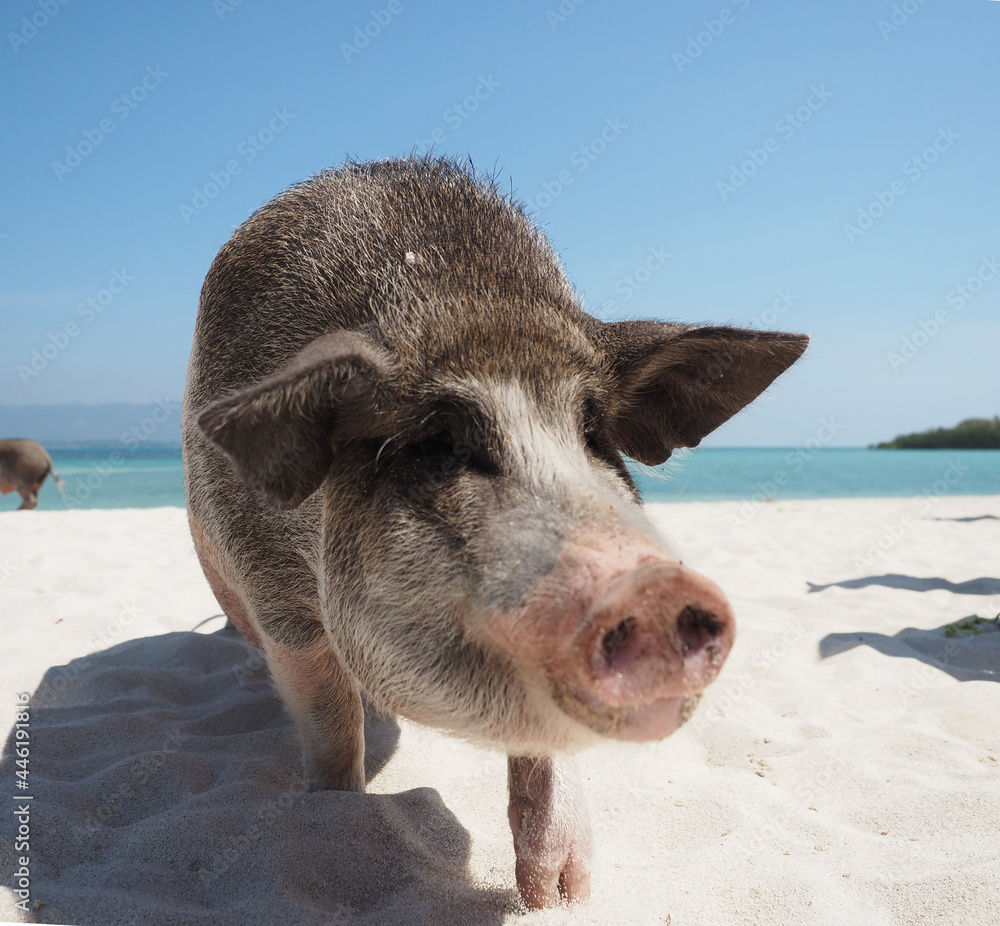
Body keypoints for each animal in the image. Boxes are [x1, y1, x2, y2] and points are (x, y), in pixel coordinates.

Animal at [182, 156, 808, 909]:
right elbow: (329, 718)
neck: (462, 304)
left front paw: (561, 895)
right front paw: (336, 812)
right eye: (441, 442)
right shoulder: (272, 584)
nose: (653, 585)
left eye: (594, 434)